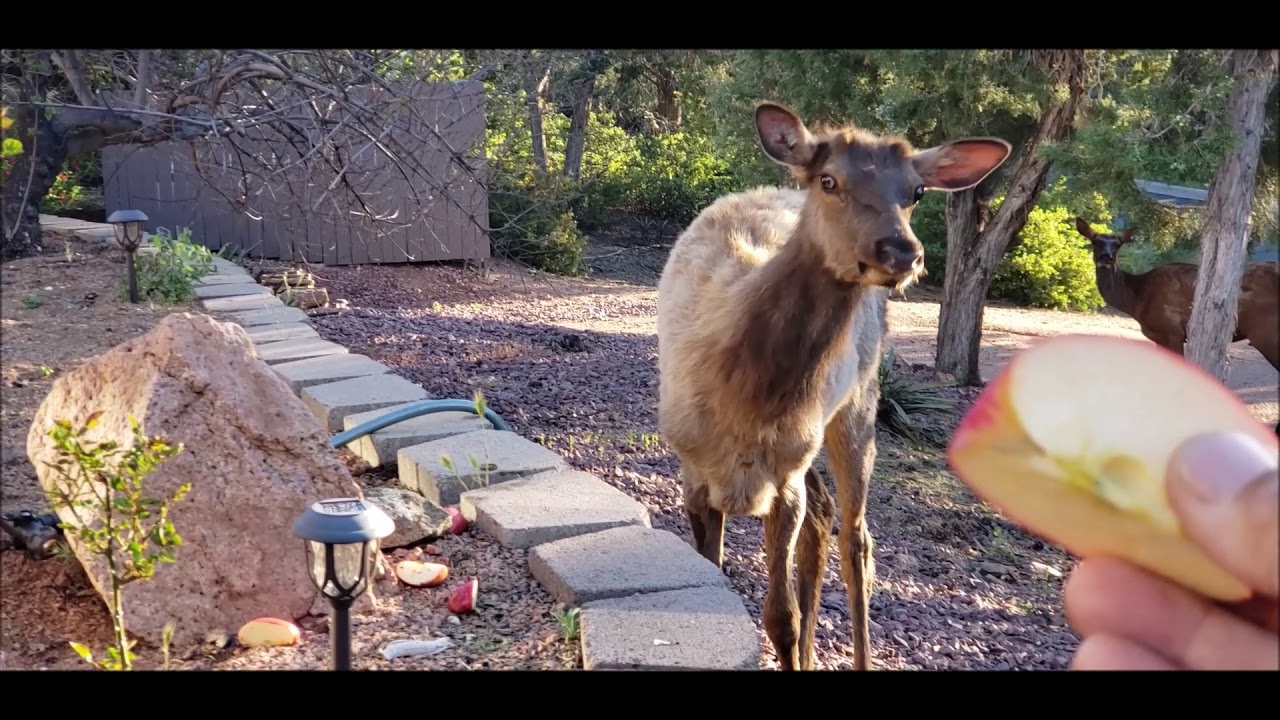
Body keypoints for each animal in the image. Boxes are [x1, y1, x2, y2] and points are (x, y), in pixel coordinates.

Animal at [656, 101, 1012, 671]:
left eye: (916, 191)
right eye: (829, 180)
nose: (902, 252)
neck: (746, 396)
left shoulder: (784, 477)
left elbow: (780, 618)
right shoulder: (693, 467)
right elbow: (713, 575)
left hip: (858, 404)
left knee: (856, 540)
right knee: (825, 516)